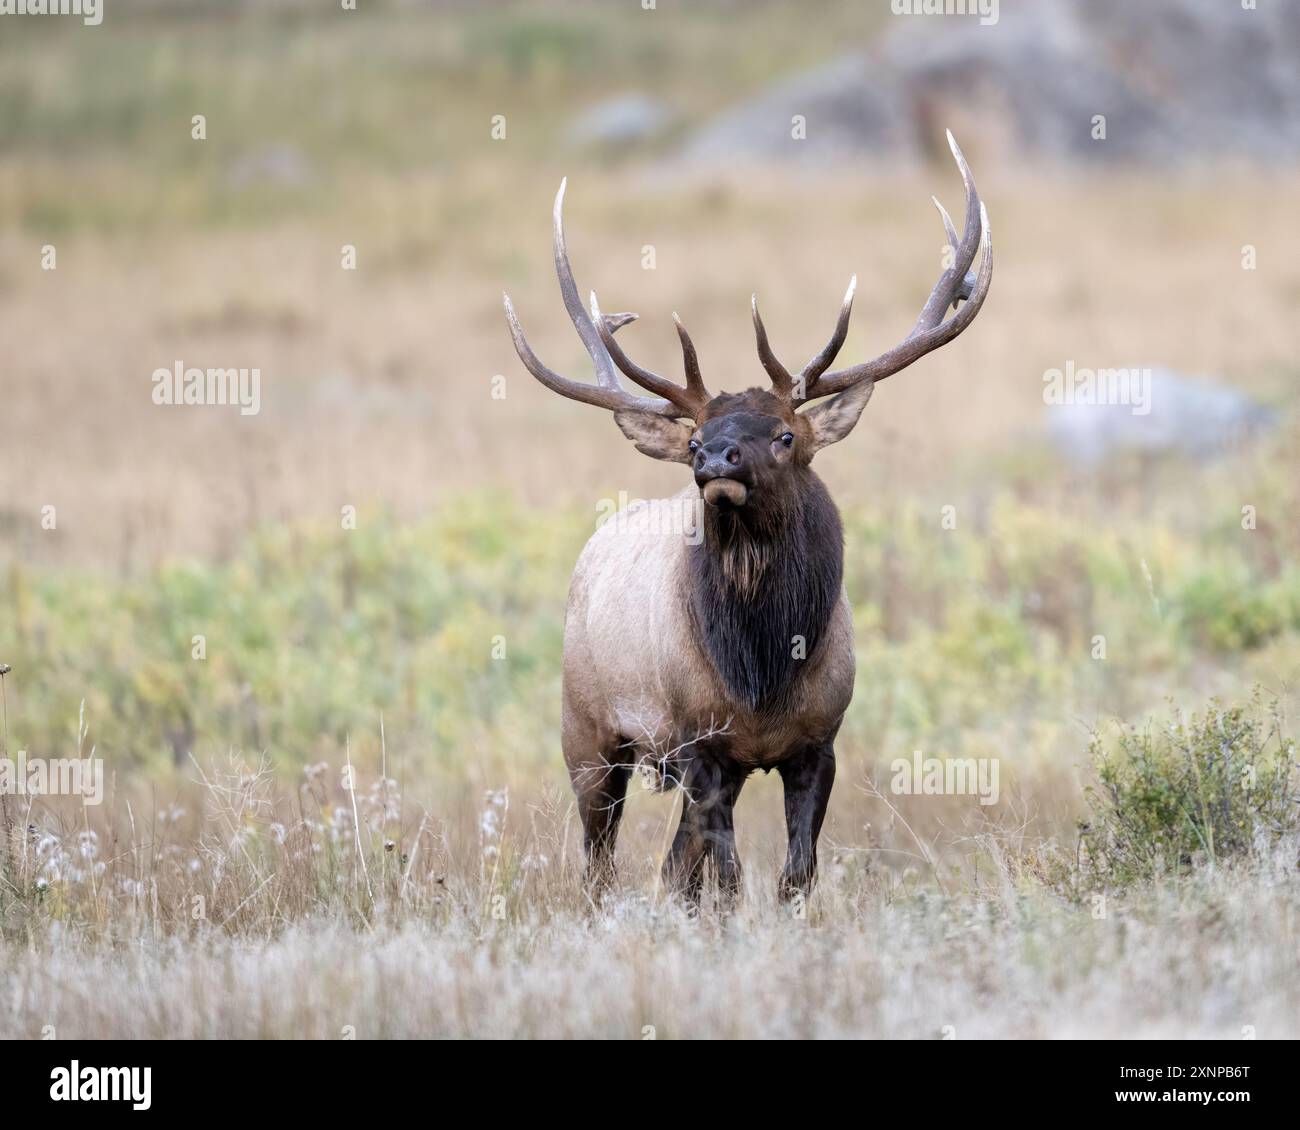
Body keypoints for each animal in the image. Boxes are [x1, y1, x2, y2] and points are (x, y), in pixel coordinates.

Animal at [503, 132, 991, 908]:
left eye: (787, 435)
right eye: (693, 443)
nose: (717, 458)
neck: (763, 670)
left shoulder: (819, 741)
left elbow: (794, 875)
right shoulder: (700, 744)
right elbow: (729, 879)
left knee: (672, 866)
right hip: (586, 732)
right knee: (601, 863)